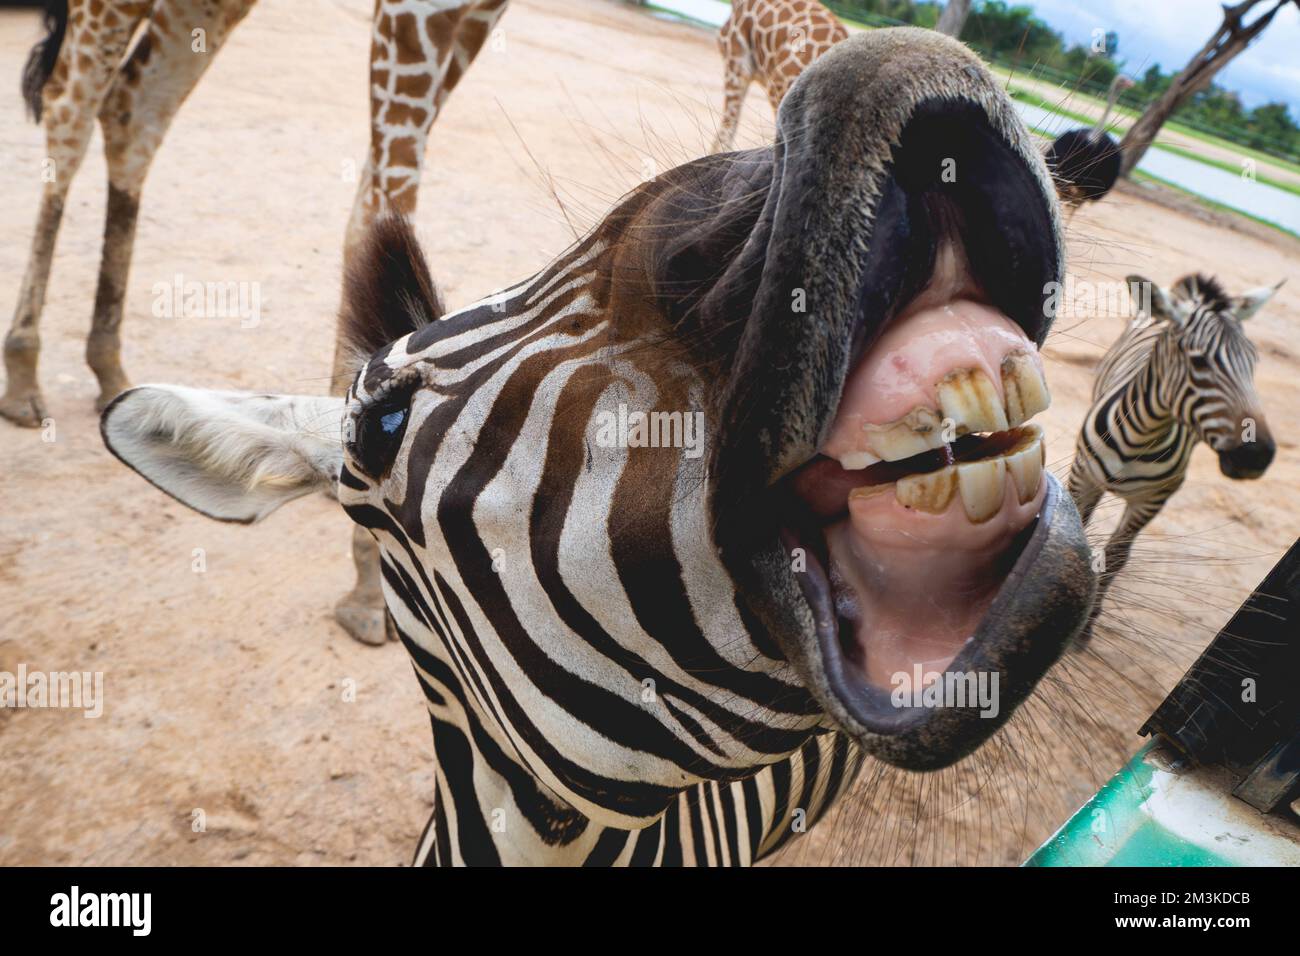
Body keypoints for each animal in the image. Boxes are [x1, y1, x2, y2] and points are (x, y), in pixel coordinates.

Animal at [1068, 272, 1281, 632]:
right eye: (1198, 361)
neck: (1140, 436)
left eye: (1253, 363)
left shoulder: (1152, 500)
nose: (1257, 457)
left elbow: (1117, 556)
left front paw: (1086, 624)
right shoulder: (1082, 475)